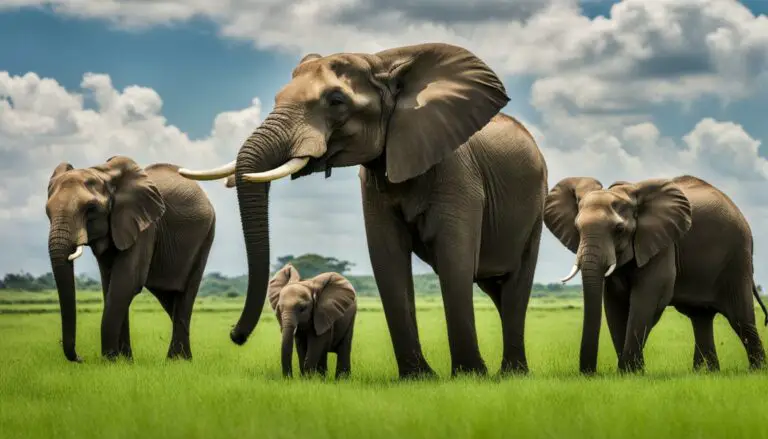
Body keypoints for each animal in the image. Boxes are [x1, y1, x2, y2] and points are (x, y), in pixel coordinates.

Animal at [45, 156, 216, 362]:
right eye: (47, 212)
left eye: (91, 209)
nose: (80, 358)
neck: (102, 174)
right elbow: (110, 285)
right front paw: (124, 362)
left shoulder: (145, 227)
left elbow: (125, 283)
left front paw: (110, 361)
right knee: (168, 297)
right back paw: (182, 359)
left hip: (205, 235)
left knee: (185, 294)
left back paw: (178, 361)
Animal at [177, 42, 548, 378]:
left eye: (336, 101)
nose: (235, 335)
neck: (386, 61)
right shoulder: (373, 180)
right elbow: (387, 258)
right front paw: (418, 377)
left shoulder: (458, 172)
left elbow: (454, 260)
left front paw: (470, 376)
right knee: (496, 289)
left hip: (536, 203)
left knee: (515, 283)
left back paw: (511, 375)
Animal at [543, 175, 768, 374]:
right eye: (577, 228)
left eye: (619, 229)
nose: (589, 373)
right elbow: (614, 304)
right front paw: (630, 372)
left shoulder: (663, 245)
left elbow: (647, 299)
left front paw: (629, 372)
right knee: (700, 318)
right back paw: (706, 373)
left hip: (736, 259)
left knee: (740, 318)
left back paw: (755, 371)